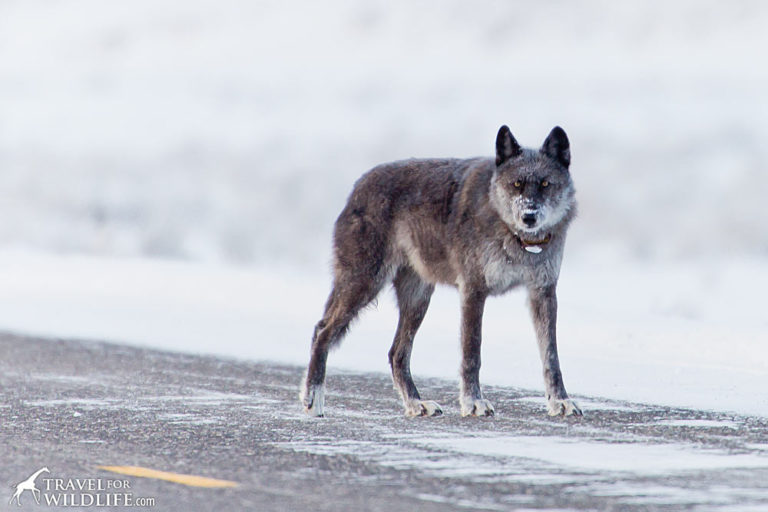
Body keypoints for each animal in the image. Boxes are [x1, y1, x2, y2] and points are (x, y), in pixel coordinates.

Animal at [300, 125, 581, 418]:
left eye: (546, 184)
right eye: (516, 184)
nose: (529, 216)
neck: (518, 239)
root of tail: (358, 185)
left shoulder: (543, 293)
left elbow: (551, 357)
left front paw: (559, 401)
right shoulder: (473, 291)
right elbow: (472, 353)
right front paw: (473, 402)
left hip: (417, 300)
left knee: (396, 353)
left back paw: (415, 403)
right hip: (365, 284)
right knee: (322, 331)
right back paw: (313, 399)